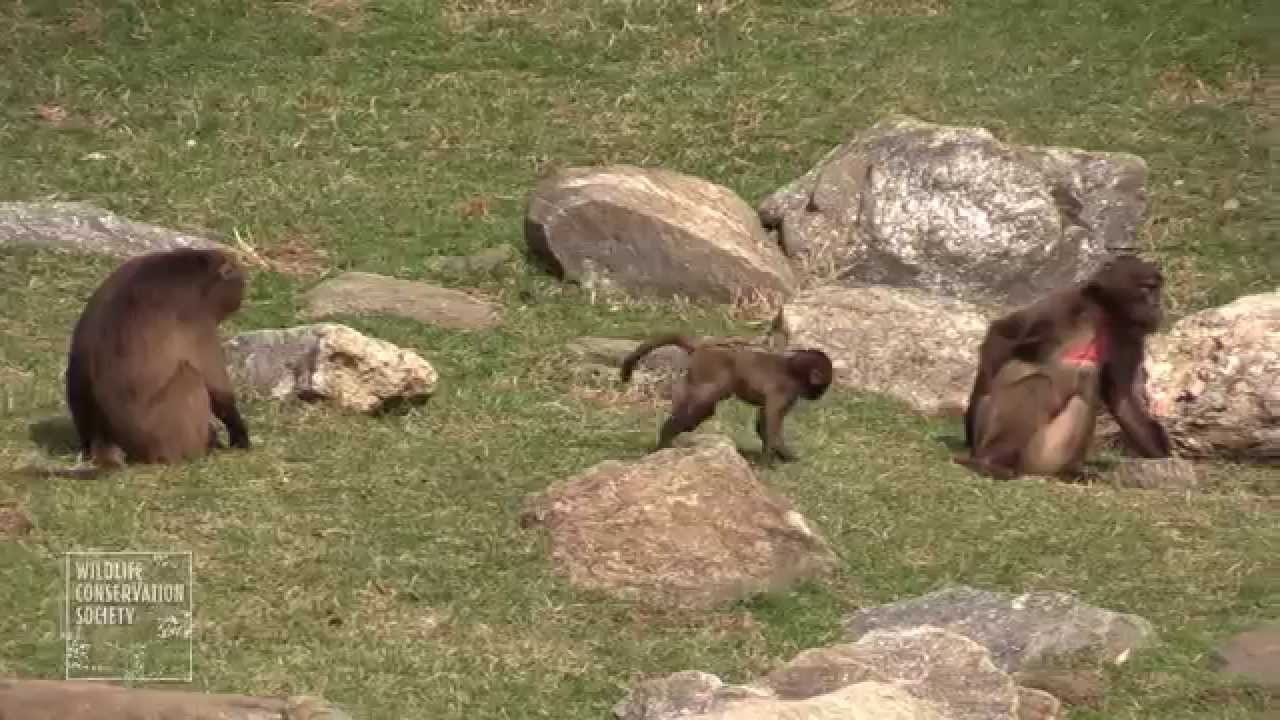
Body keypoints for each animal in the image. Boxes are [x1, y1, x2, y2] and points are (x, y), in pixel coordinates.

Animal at [64, 247, 251, 472]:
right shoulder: (197, 318)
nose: (243, 288)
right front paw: (239, 433)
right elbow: (217, 387)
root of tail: (103, 439)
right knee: (189, 376)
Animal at [619, 334, 834, 464]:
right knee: (704, 405)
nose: (819, 396)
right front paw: (770, 460)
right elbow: (770, 421)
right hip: (710, 371)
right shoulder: (787, 392)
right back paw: (667, 436)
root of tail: (706, 347)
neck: (792, 368)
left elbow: (763, 421)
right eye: (823, 386)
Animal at [956, 254, 1172, 480]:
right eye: (1147, 288)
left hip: (1041, 456)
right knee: (1038, 383)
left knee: (1084, 386)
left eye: (1156, 289)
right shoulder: (1063, 303)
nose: (1157, 305)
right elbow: (1002, 334)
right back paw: (990, 459)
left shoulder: (1129, 336)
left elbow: (1123, 399)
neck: (1103, 313)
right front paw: (972, 421)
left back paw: (1070, 471)